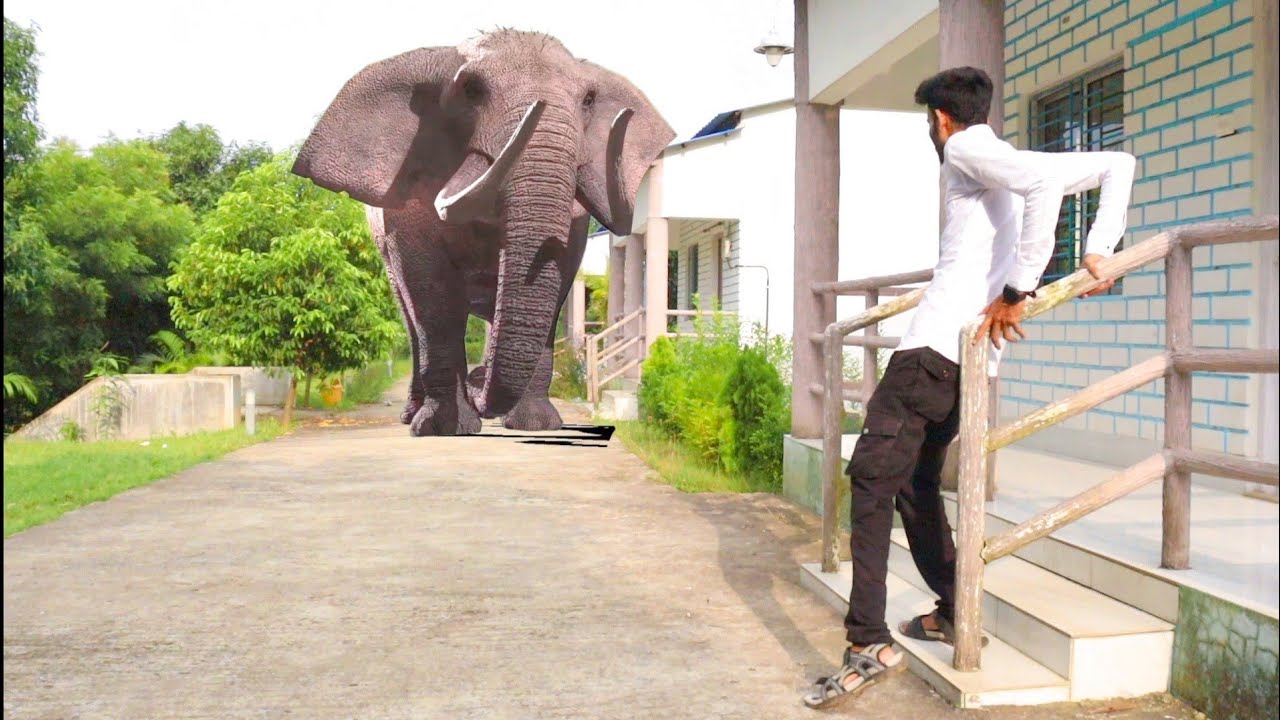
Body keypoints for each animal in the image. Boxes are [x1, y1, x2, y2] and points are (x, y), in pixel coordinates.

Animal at [292, 30, 674, 436]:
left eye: (588, 100)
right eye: (471, 91)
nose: (480, 385)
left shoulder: (575, 222)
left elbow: (557, 285)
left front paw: (536, 426)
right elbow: (431, 293)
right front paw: (444, 429)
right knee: (412, 319)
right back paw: (415, 415)